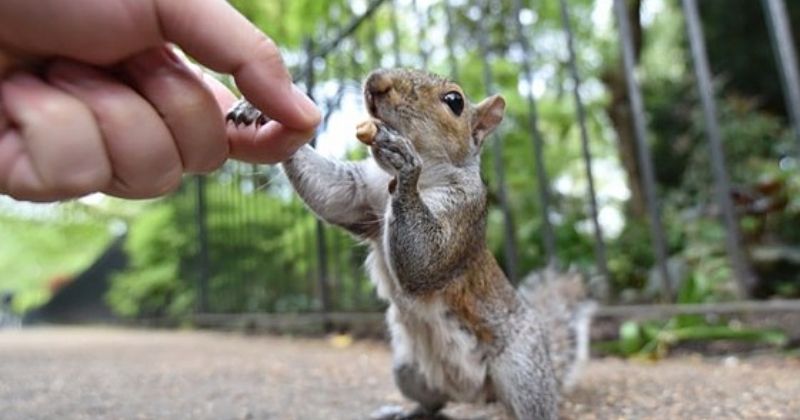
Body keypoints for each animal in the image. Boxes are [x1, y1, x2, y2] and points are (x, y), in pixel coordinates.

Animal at [227, 68, 595, 420]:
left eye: (454, 101)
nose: (375, 82)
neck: (428, 172)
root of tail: (476, 394)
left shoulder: (463, 213)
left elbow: (426, 259)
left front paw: (405, 164)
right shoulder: (362, 193)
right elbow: (333, 193)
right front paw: (258, 109)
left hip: (522, 371)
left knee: (532, 406)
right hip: (409, 369)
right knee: (435, 403)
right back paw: (404, 411)